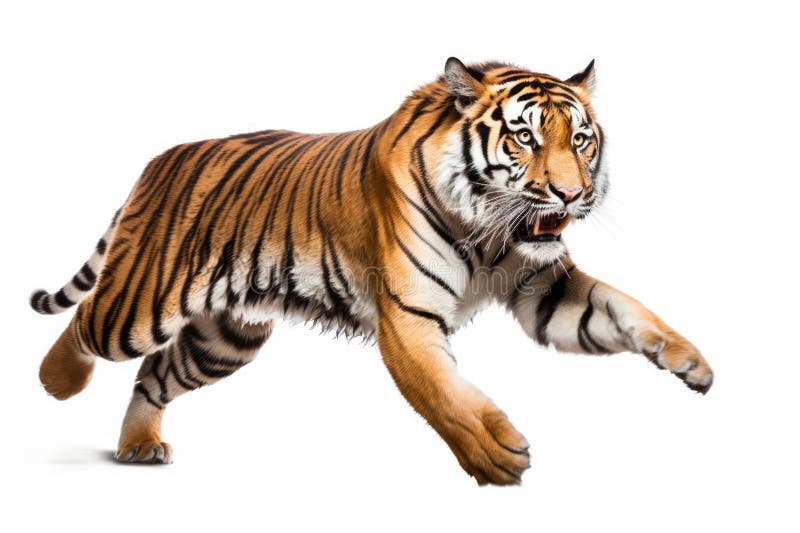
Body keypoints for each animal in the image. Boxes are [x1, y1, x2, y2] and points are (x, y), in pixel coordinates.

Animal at [31, 57, 714, 485]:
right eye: (523, 137)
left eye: (580, 140)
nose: (571, 195)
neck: (490, 231)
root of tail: (159, 159)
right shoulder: (408, 315)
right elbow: (444, 394)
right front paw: (496, 453)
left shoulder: (544, 290)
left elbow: (625, 308)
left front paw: (691, 362)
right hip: (142, 301)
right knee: (88, 324)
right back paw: (56, 382)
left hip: (226, 338)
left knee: (153, 375)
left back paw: (137, 445)